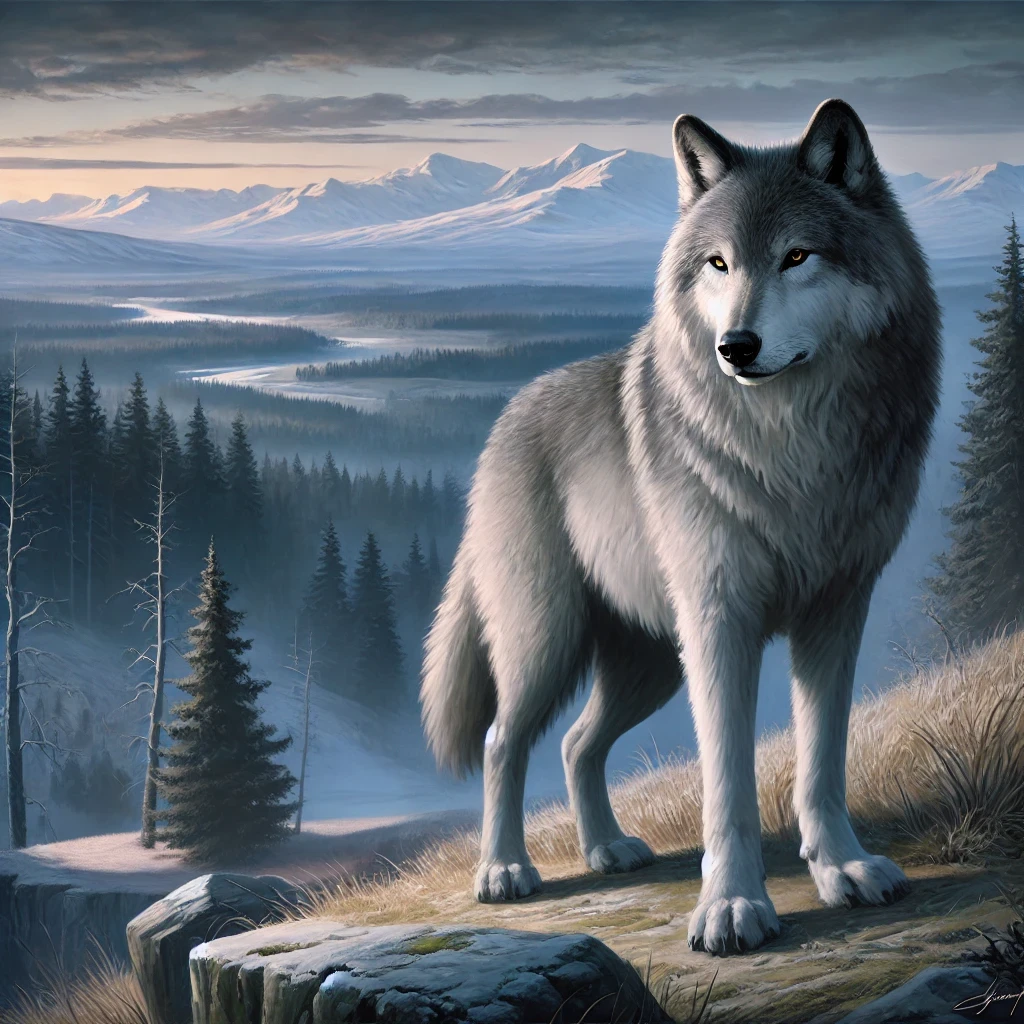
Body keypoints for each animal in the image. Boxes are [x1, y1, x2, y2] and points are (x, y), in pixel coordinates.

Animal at [421, 99, 941, 956]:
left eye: (797, 256)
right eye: (718, 264)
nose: (735, 346)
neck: (791, 451)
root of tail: (505, 417)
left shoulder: (836, 612)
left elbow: (821, 762)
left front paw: (843, 869)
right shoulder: (720, 621)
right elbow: (726, 783)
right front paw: (732, 908)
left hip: (650, 662)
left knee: (577, 743)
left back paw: (606, 849)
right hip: (550, 644)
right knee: (504, 740)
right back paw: (503, 871)